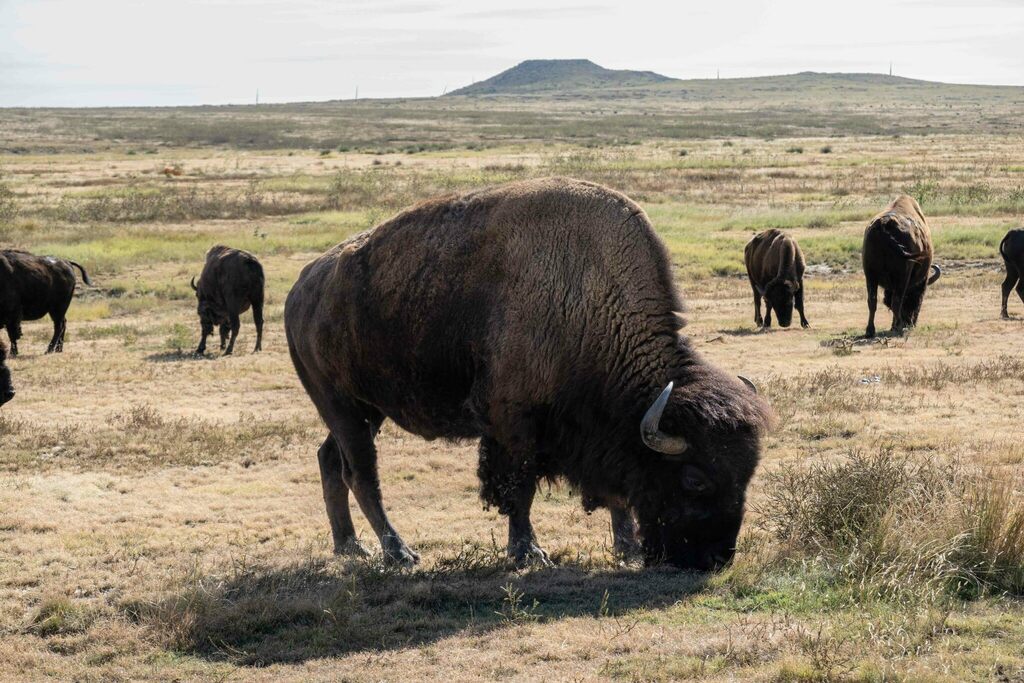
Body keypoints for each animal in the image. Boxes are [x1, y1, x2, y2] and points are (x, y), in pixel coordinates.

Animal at [286, 177, 770, 570]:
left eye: (748, 473)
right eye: (694, 479)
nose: (715, 559)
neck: (588, 296)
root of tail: (302, 287)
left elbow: (613, 494)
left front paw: (626, 547)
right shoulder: (512, 423)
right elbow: (519, 489)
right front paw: (529, 552)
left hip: (368, 411)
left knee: (329, 460)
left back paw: (350, 547)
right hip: (343, 406)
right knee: (360, 474)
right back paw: (397, 552)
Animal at [862, 195, 940, 337]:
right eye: (918, 298)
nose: (911, 323)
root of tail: (884, 226)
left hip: (870, 275)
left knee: (872, 301)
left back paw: (870, 331)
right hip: (901, 277)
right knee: (896, 302)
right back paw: (899, 327)